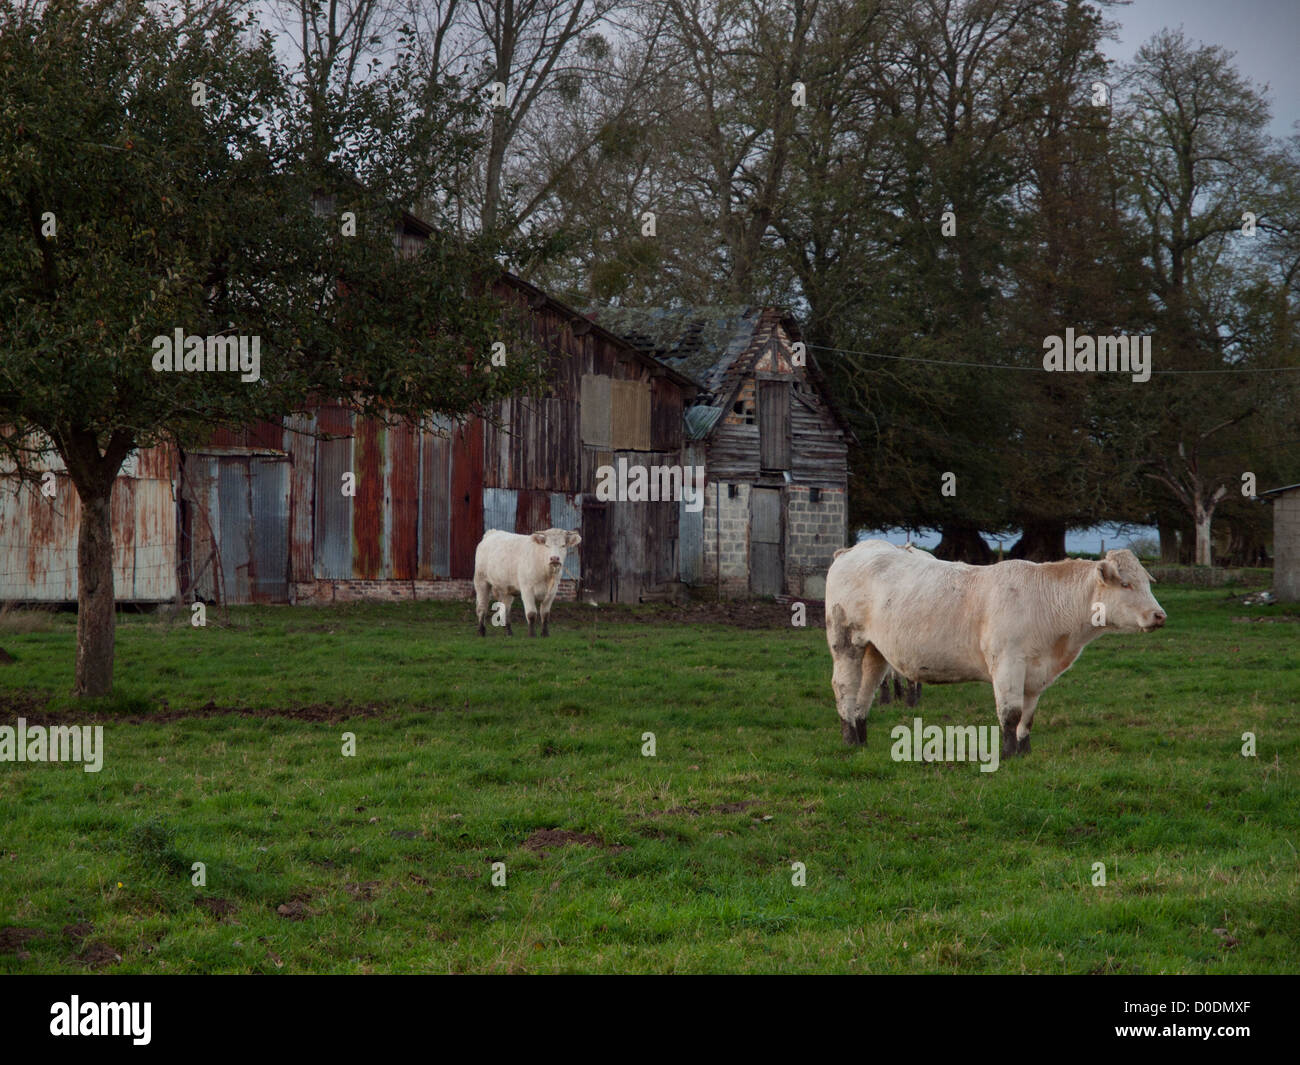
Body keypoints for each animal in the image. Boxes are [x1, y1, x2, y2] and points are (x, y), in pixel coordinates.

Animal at [824, 540, 1165, 756]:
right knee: (844, 687)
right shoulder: (1007, 662)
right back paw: (849, 739)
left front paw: (1024, 752)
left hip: (875, 650)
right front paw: (1008, 754)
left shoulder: (1035, 672)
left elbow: (1027, 715)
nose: (1159, 615)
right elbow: (1010, 713)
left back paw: (862, 738)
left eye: (1146, 583)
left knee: (865, 692)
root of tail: (854, 549)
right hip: (845, 643)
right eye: (1126, 584)